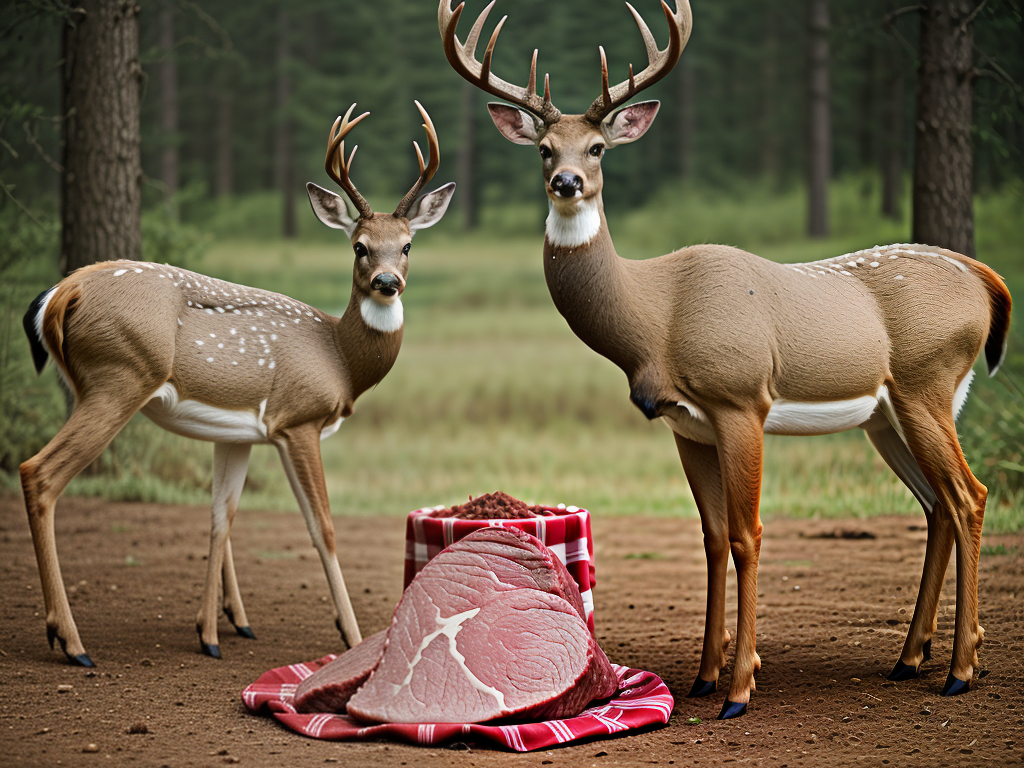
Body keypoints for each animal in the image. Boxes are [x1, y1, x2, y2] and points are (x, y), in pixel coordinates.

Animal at [19, 101, 455, 667]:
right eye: (359, 247)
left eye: (407, 246)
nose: (387, 282)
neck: (338, 357)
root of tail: (60, 293)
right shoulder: (298, 419)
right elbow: (323, 528)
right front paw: (352, 634)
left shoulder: (240, 433)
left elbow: (221, 515)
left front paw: (215, 629)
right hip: (119, 376)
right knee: (38, 472)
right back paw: (71, 642)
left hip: (88, 384)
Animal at [439, 0, 1012, 718]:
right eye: (544, 148)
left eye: (597, 148)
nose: (566, 182)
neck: (656, 316)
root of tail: (985, 279)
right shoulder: (686, 425)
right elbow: (711, 538)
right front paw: (703, 676)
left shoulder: (741, 400)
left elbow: (746, 533)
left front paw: (740, 687)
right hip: (889, 414)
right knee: (936, 505)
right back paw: (909, 658)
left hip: (925, 382)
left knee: (968, 495)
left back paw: (960, 668)